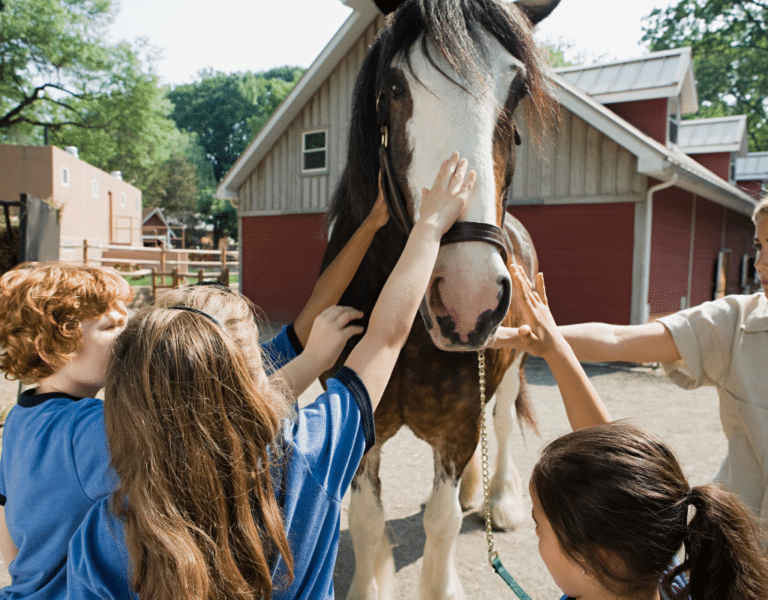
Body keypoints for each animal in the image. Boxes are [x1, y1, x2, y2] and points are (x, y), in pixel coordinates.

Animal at [319, 0, 558, 597]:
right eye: (394, 86)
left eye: (517, 89)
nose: (469, 299)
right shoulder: (365, 420)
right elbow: (366, 519)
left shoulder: (458, 424)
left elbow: (442, 522)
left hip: (514, 368)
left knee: (500, 424)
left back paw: (499, 502)